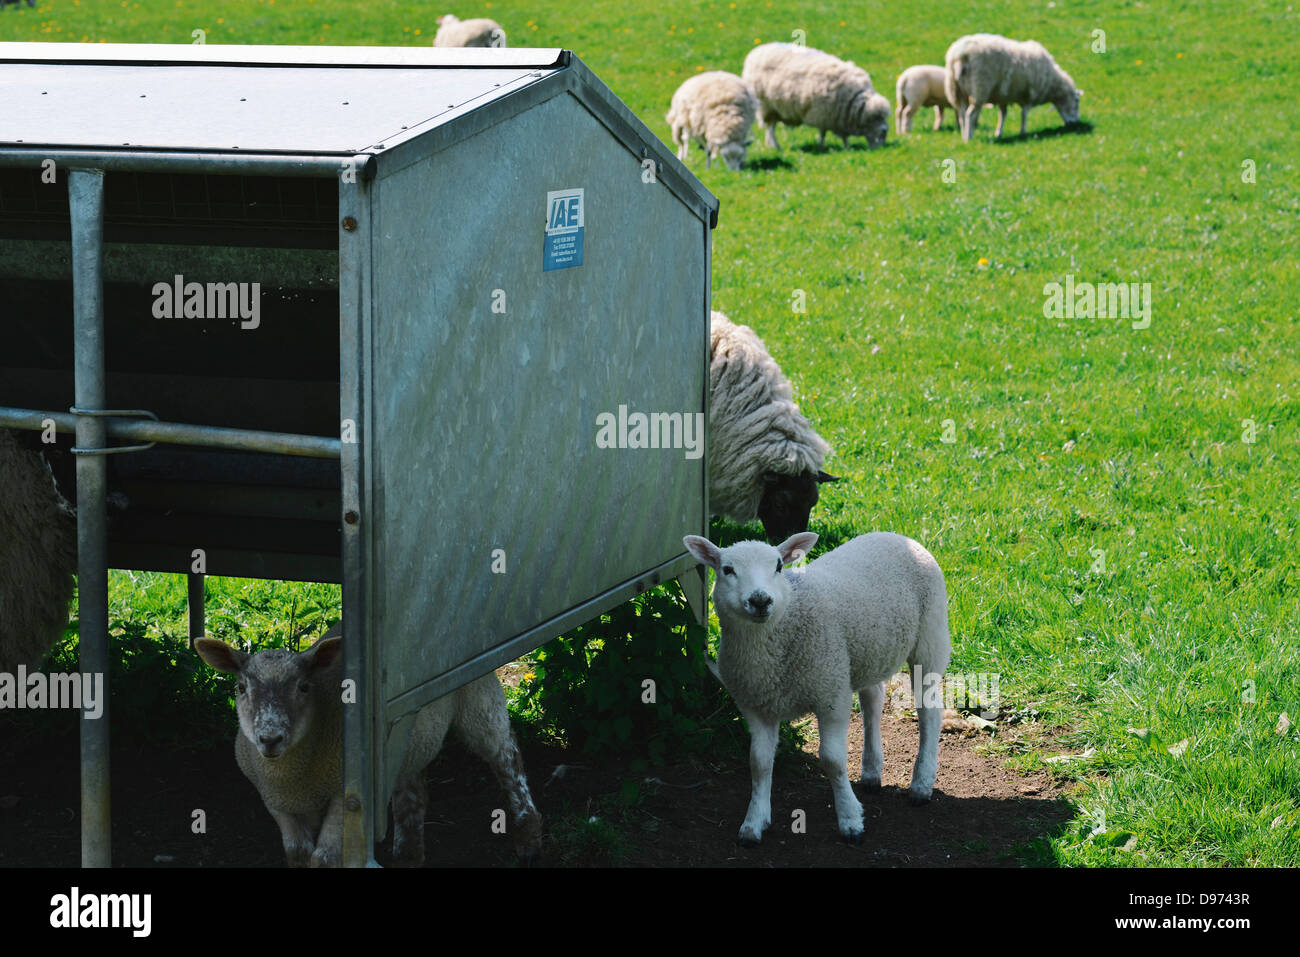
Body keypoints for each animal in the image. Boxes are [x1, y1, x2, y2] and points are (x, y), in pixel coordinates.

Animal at [194, 624, 542, 867]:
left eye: (304, 687)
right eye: (241, 688)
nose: (269, 739)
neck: (293, 775)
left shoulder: (343, 796)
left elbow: (323, 859)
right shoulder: (277, 803)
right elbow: (297, 855)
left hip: (477, 694)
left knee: (506, 755)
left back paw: (528, 837)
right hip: (408, 736)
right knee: (413, 789)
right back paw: (409, 855)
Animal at [682, 530, 951, 845]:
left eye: (778, 567)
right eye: (727, 570)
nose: (760, 600)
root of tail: (895, 535)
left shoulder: (831, 694)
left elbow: (832, 760)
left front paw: (850, 820)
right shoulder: (755, 705)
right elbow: (759, 762)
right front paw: (753, 822)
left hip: (930, 635)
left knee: (929, 709)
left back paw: (921, 783)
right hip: (867, 653)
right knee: (873, 699)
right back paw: (872, 772)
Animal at [741, 42, 890, 150]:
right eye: (883, 132)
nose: (879, 150)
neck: (854, 100)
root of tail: (755, 53)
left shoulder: (839, 119)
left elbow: (843, 135)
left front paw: (846, 147)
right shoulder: (823, 114)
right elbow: (823, 133)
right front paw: (822, 146)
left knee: (770, 127)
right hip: (767, 105)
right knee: (770, 128)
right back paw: (775, 146)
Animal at [944, 33, 1083, 142]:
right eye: (1077, 102)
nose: (1075, 124)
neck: (1052, 83)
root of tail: (960, 55)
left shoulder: (1002, 96)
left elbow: (1003, 114)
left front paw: (999, 133)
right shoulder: (1029, 94)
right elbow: (1024, 114)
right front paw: (1023, 132)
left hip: (956, 90)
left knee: (962, 115)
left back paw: (964, 136)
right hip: (980, 88)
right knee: (970, 114)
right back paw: (969, 137)